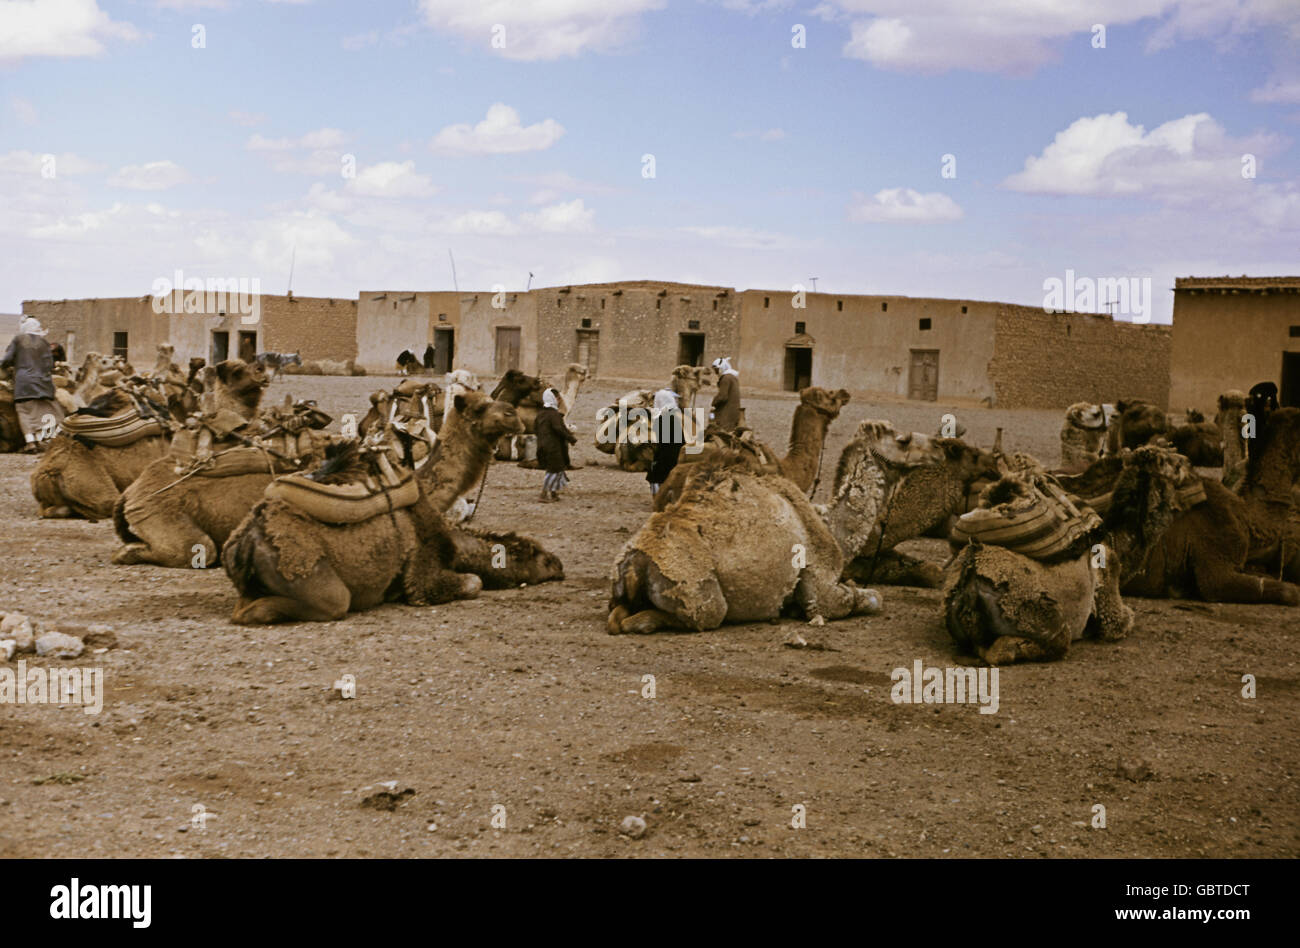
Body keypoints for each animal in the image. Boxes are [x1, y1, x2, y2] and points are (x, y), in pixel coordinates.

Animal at [223, 397, 554, 624]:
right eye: (481, 406)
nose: (514, 415)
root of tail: (241, 544)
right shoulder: (421, 576)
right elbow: (474, 581)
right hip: (312, 580)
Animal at [943, 446, 1196, 665]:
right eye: (1171, 462)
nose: (1187, 461)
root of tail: (969, 582)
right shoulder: (1110, 590)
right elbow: (1121, 622)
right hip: (1041, 620)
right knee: (1021, 647)